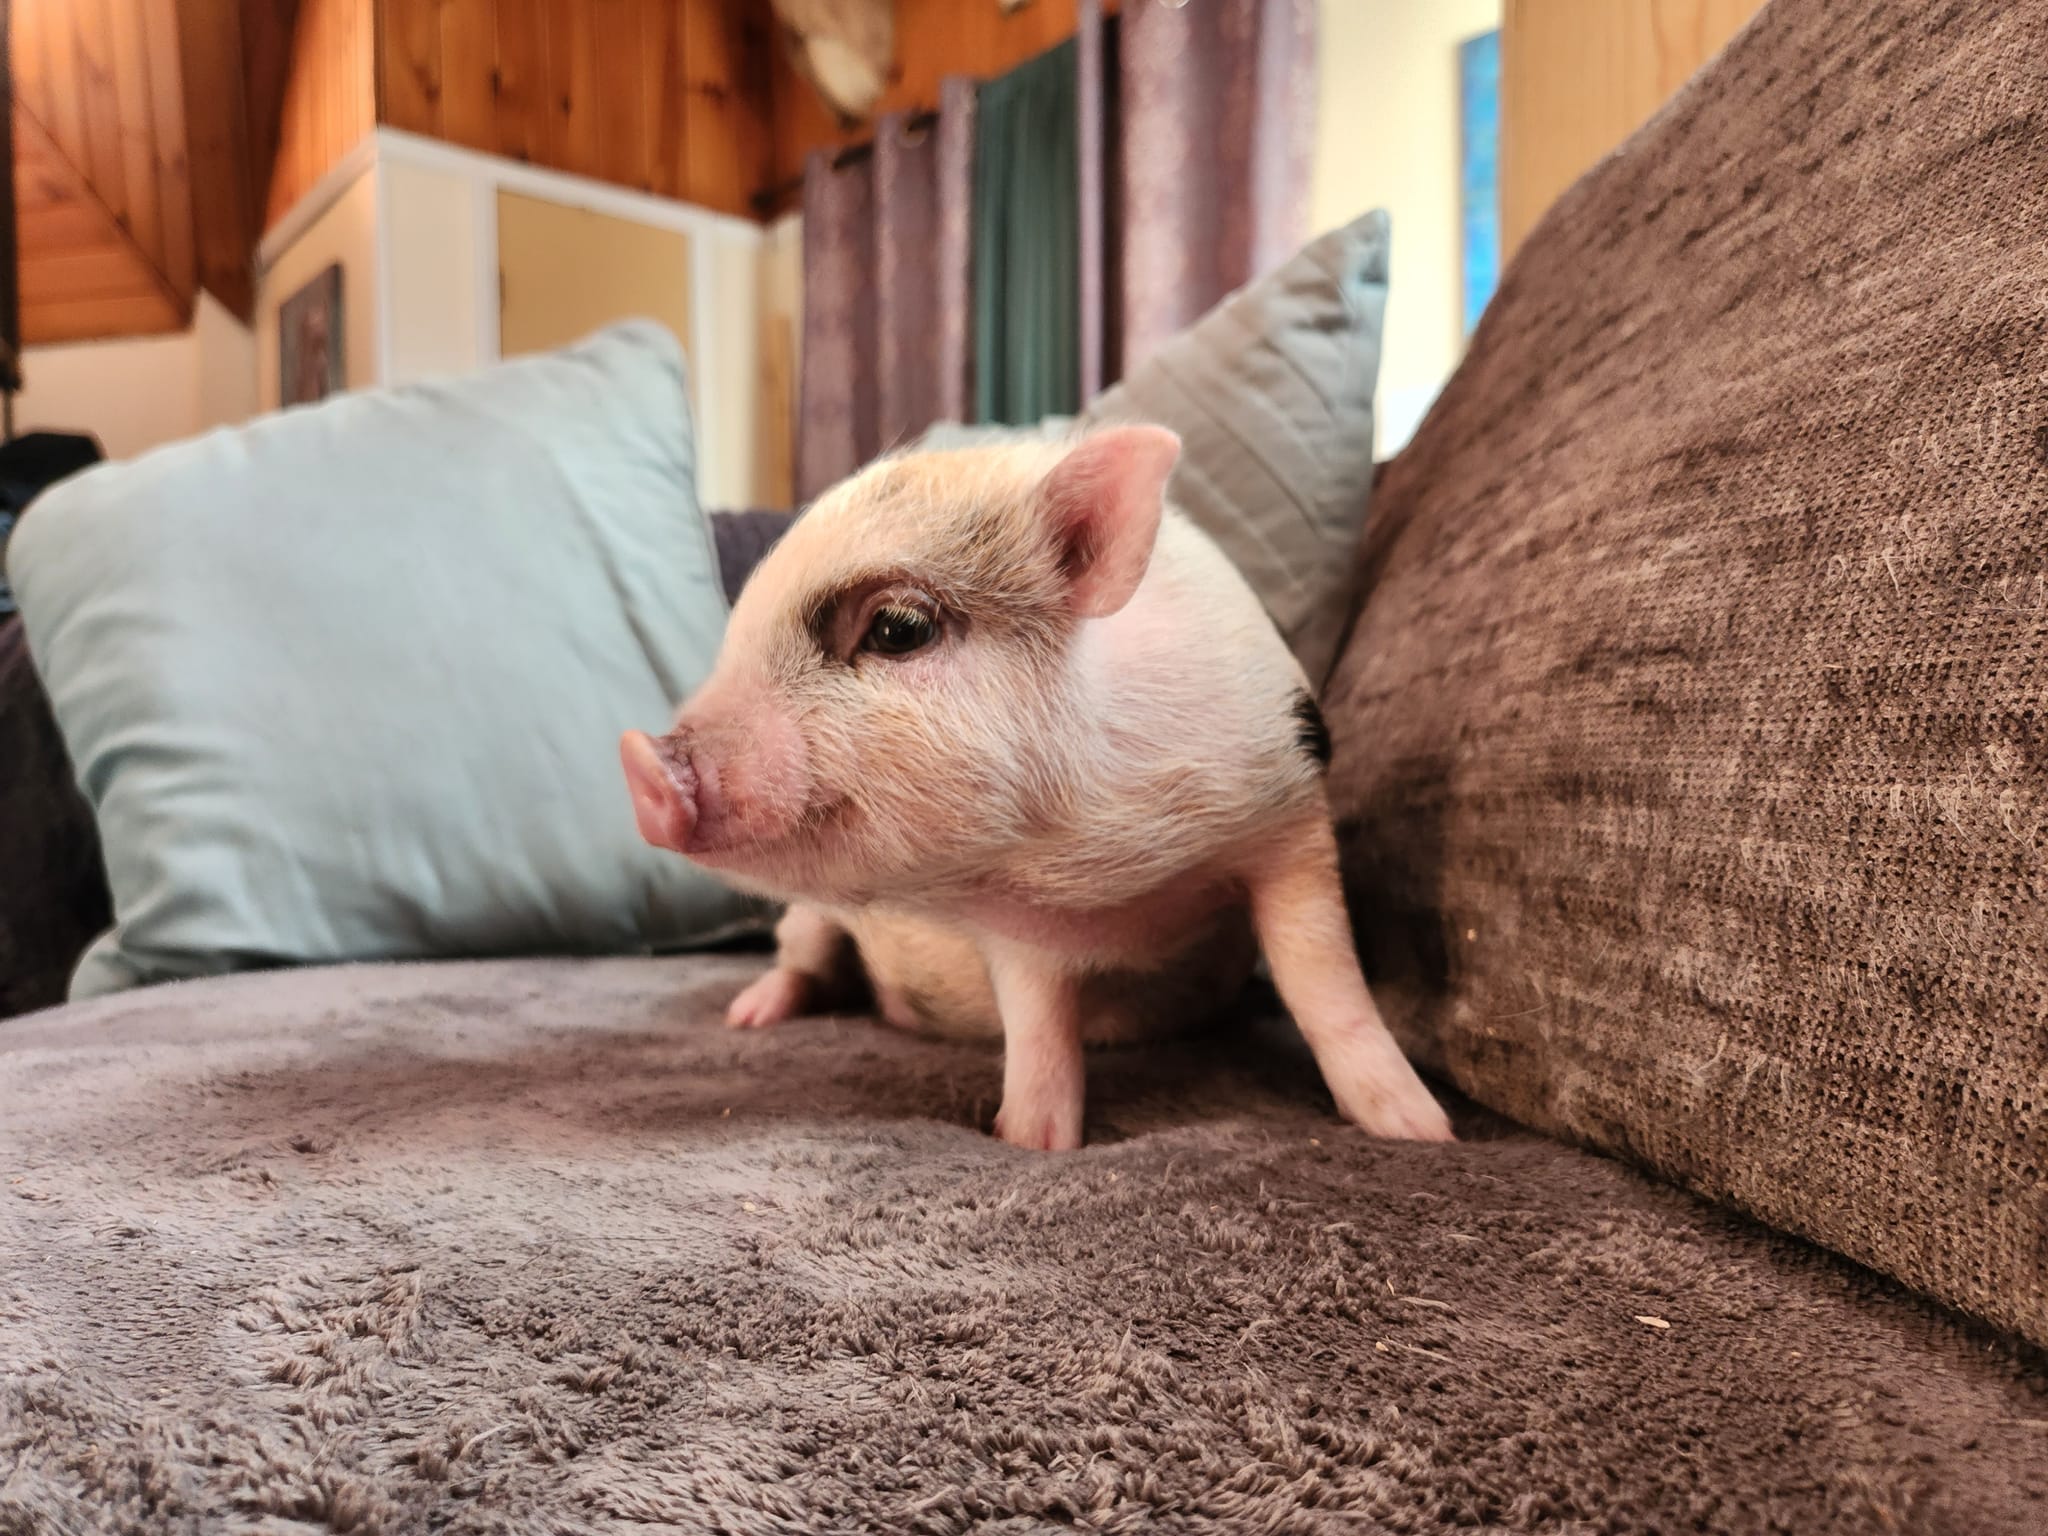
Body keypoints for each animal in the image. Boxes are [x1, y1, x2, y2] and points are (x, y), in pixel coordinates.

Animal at [621, 425, 1452, 1151]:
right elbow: (1039, 1033)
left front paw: (1419, 1129)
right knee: (803, 962)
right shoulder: (1020, 932)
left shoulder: (1292, 818)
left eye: (897, 629)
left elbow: (1322, 979)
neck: (1115, 884)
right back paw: (747, 1017)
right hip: (808, 917)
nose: (639, 759)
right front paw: (1030, 1143)